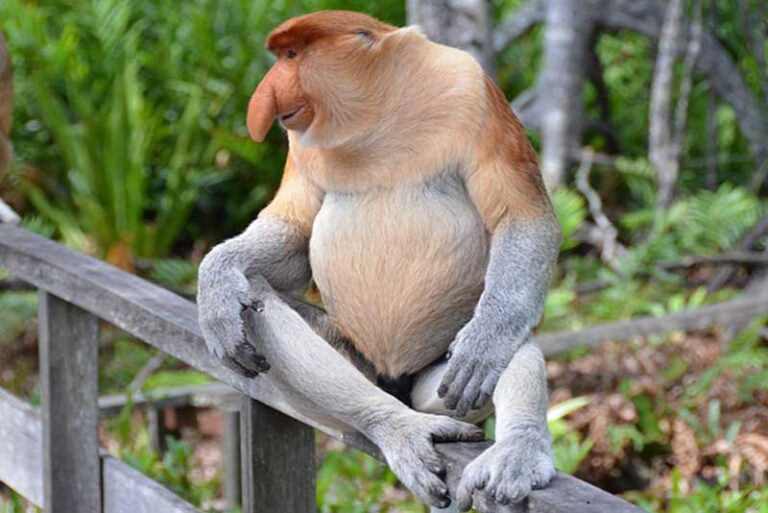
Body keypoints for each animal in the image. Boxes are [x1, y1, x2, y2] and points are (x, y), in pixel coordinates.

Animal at [197, 11, 561, 511]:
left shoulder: (473, 93)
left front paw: (485, 343)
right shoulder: (301, 144)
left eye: (291, 55)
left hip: (441, 380)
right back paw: (396, 426)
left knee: (511, 343)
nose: (265, 93)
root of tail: (395, 381)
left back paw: (513, 452)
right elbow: (294, 234)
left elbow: (522, 219)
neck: (376, 116)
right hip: (356, 364)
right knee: (255, 296)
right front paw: (215, 281)